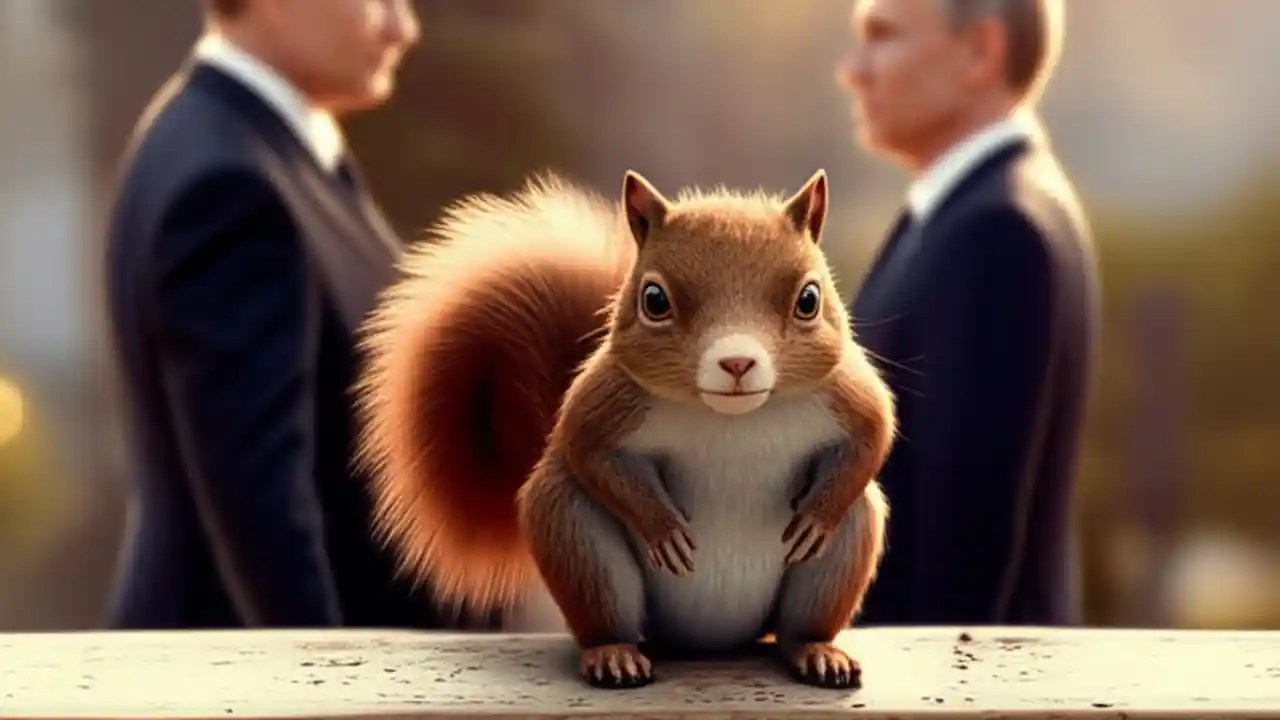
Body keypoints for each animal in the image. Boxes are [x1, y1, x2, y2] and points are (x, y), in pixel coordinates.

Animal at [352, 168, 896, 690]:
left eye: (809, 299)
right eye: (653, 299)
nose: (737, 362)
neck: (733, 419)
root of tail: (711, 644)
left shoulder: (845, 392)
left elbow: (874, 435)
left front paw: (815, 519)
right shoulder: (607, 402)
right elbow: (585, 449)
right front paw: (664, 529)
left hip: (840, 556)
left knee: (803, 617)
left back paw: (818, 653)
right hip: (578, 542)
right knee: (606, 613)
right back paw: (613, 655)